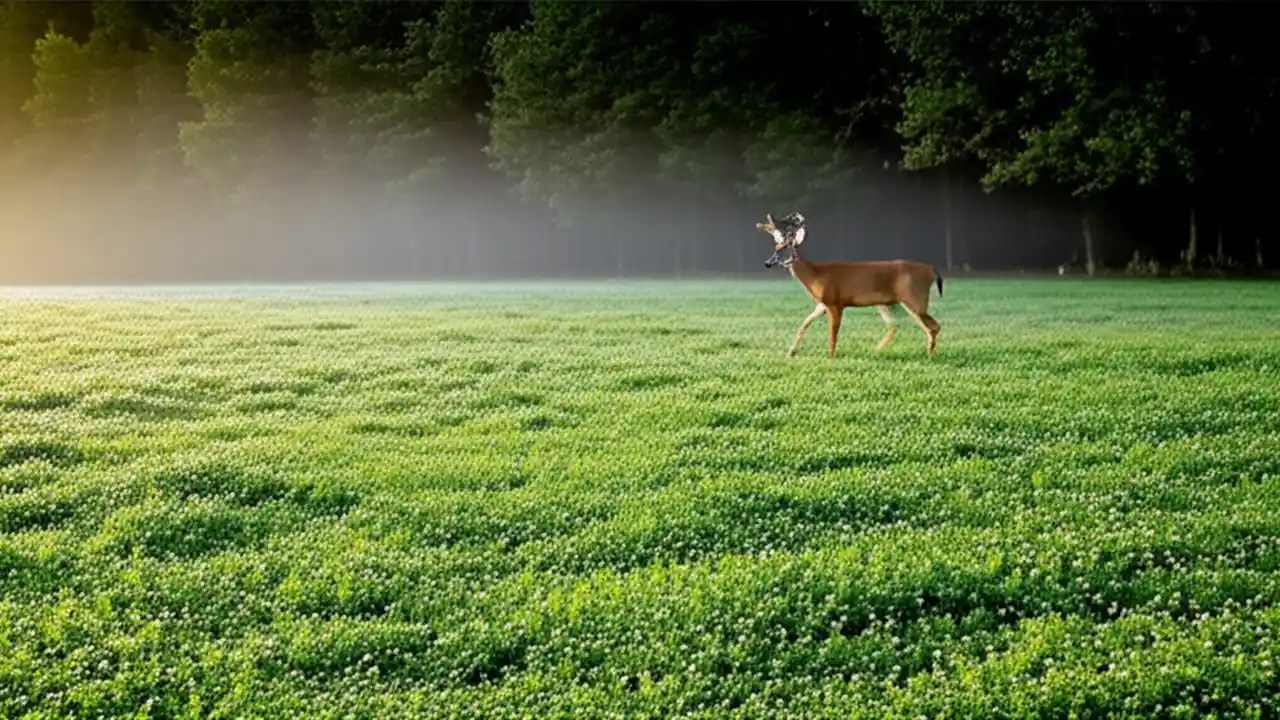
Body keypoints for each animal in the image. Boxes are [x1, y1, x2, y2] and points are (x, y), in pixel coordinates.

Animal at [757, 212, 943, 358]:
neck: (815, 275)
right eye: (776, 246)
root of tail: (931, 270)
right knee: (898, 325)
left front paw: (831, 356)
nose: (767, 263)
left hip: (915, 299)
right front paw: (791, 352)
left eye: (785, 248)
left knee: (933, 326)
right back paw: (878, 350)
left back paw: (928, 355)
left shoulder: (836, 303)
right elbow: (804, 324)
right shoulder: (822, 305)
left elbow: (833, 333)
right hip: (890, 303)